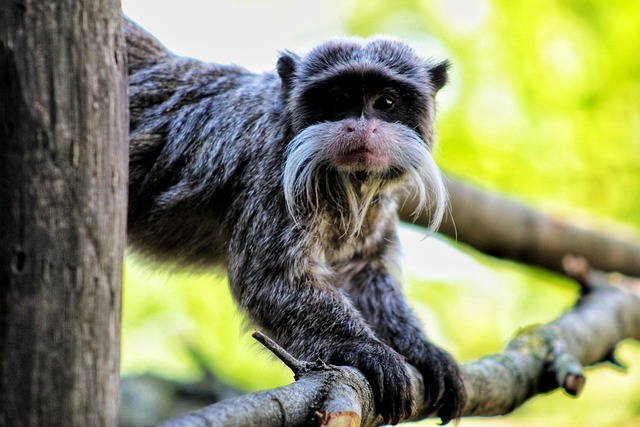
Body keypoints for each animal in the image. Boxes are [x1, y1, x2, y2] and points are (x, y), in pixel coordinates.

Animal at [125, 19, 467, 425]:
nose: (360, 128)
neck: (345, 185)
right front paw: (366, 349)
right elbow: (273, 280)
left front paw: (422, 349)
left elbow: (362, 275)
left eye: (385, 102)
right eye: (338, 100)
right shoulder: (272, 172)